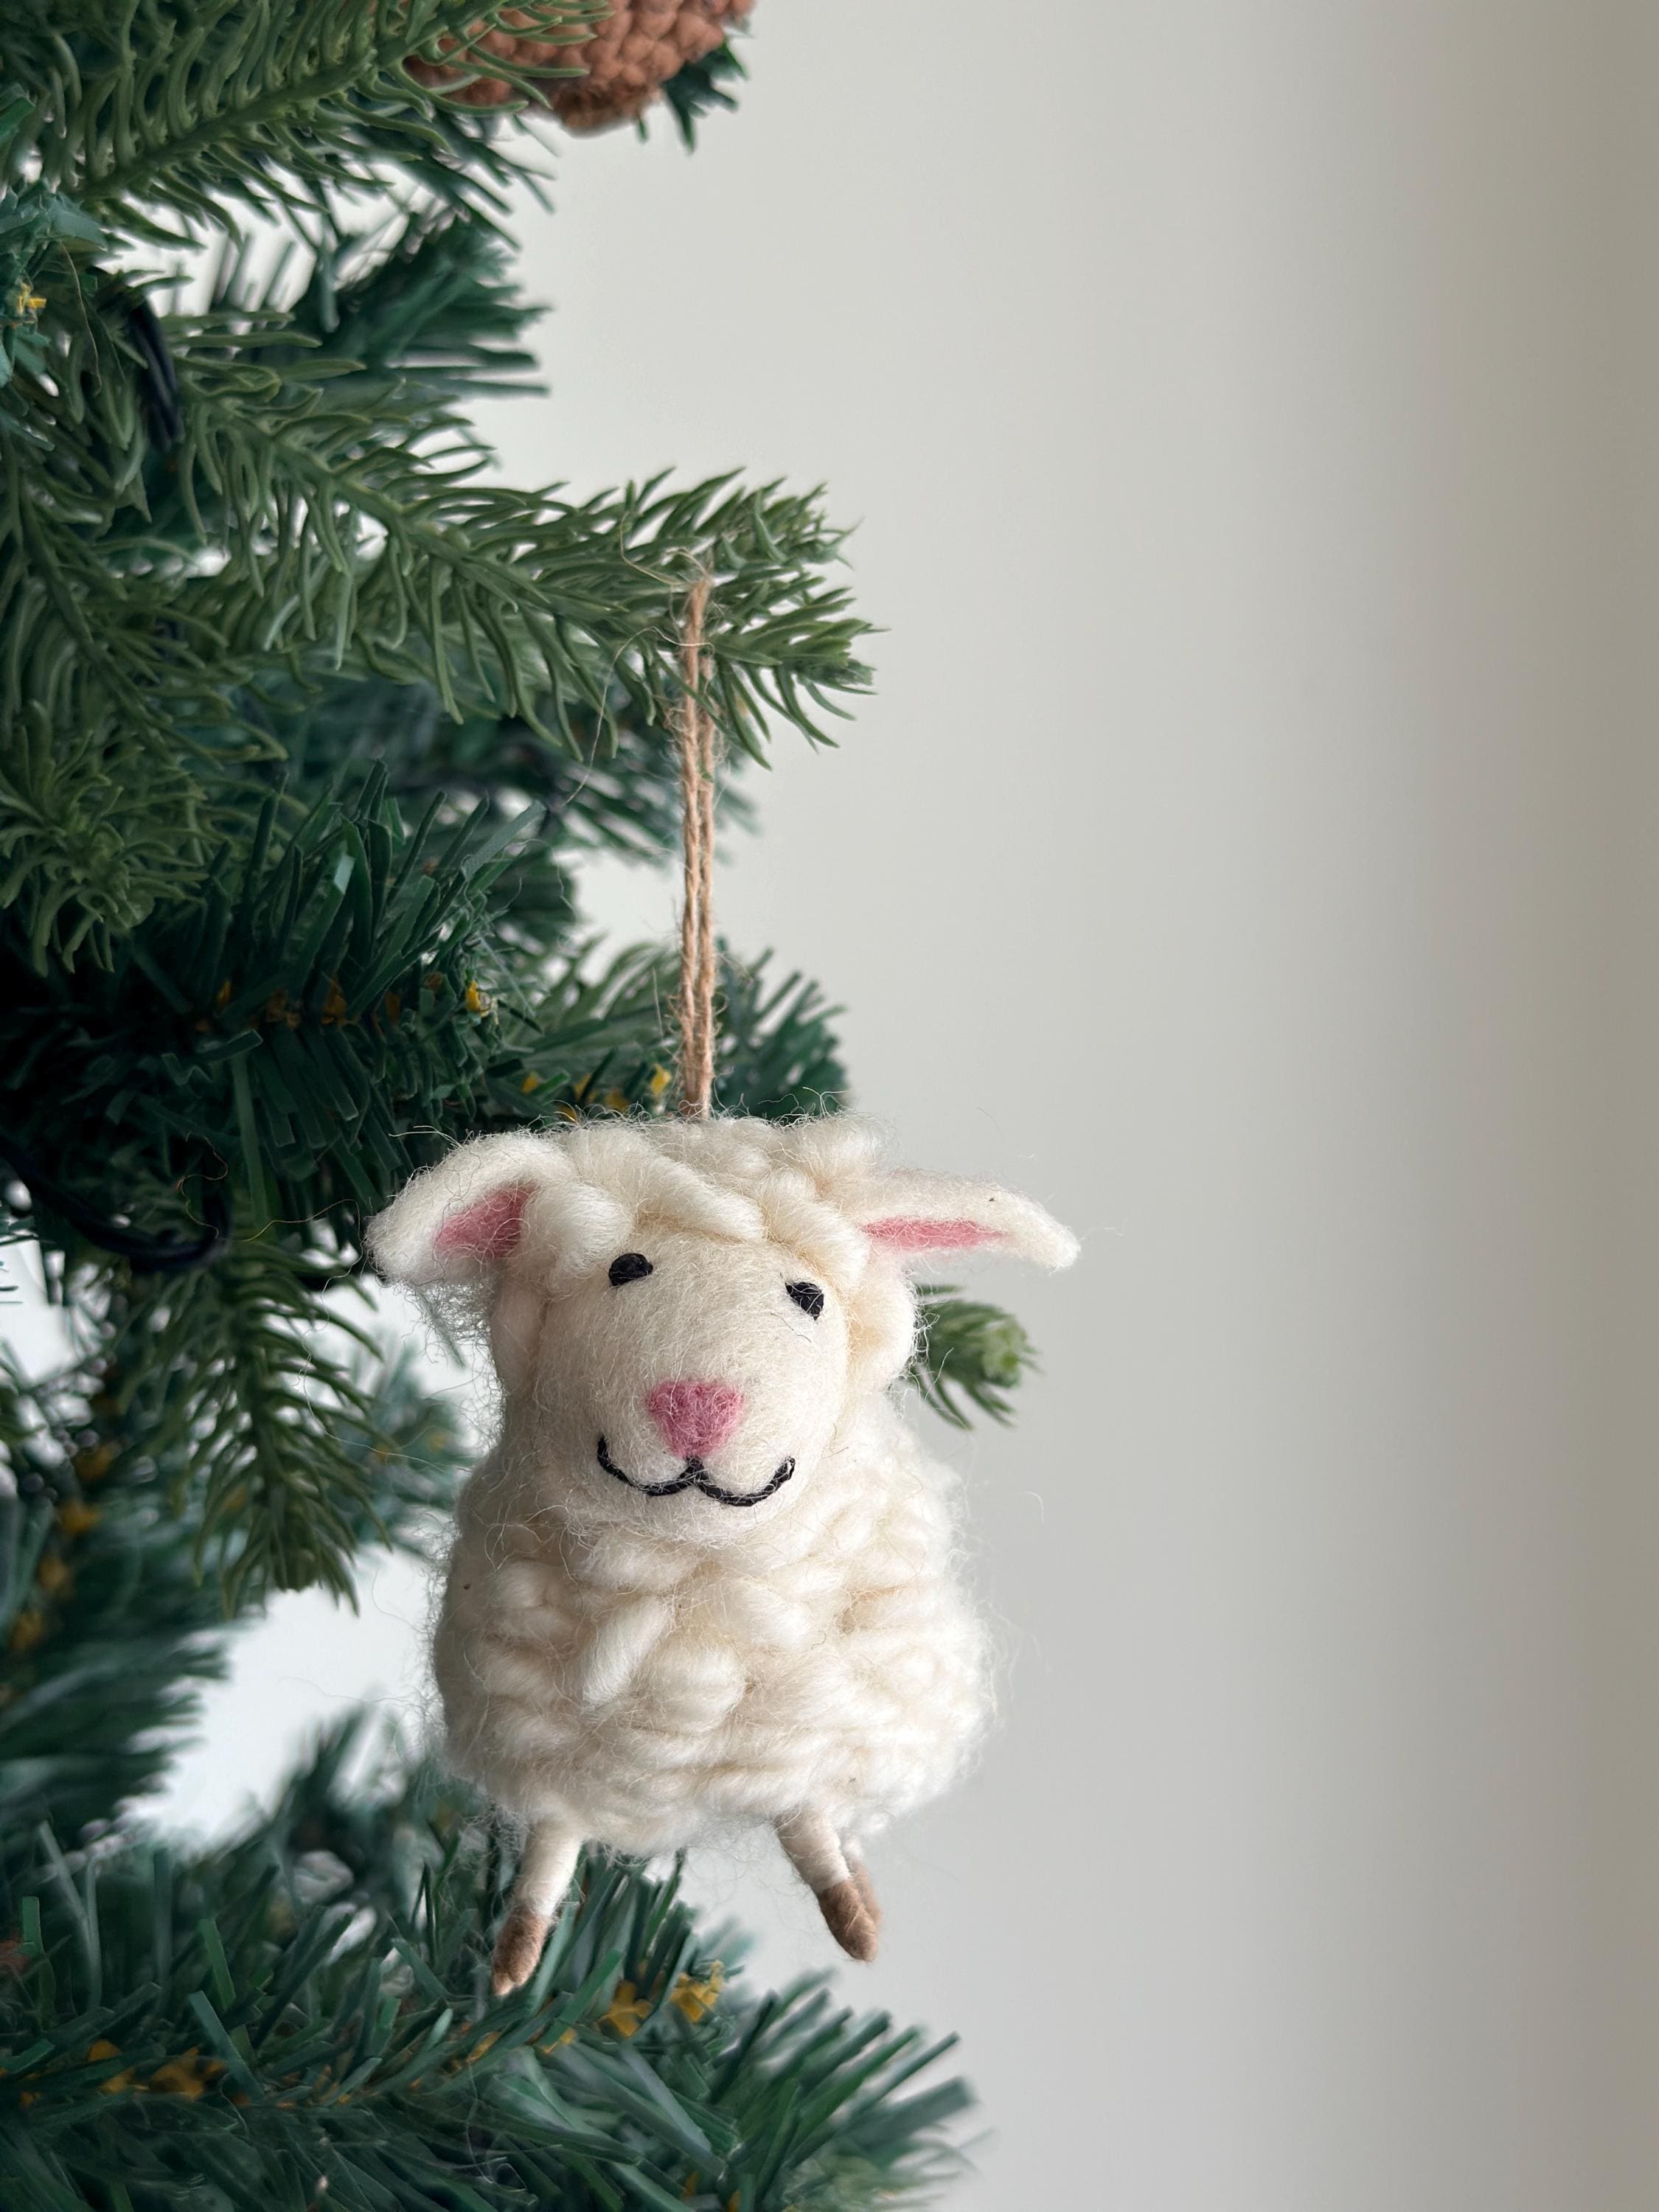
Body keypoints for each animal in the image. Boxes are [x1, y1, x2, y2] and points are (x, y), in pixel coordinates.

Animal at [368, 1112, 1077, 1994]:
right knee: (558, 1839)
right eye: (624, 1270)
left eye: (808, 1296)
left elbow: (814, 1821)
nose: (698, 1404)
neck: (695, 1575)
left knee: (808, 1822)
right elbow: (554, 1836)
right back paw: (517, 1957)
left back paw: (853, 1916)